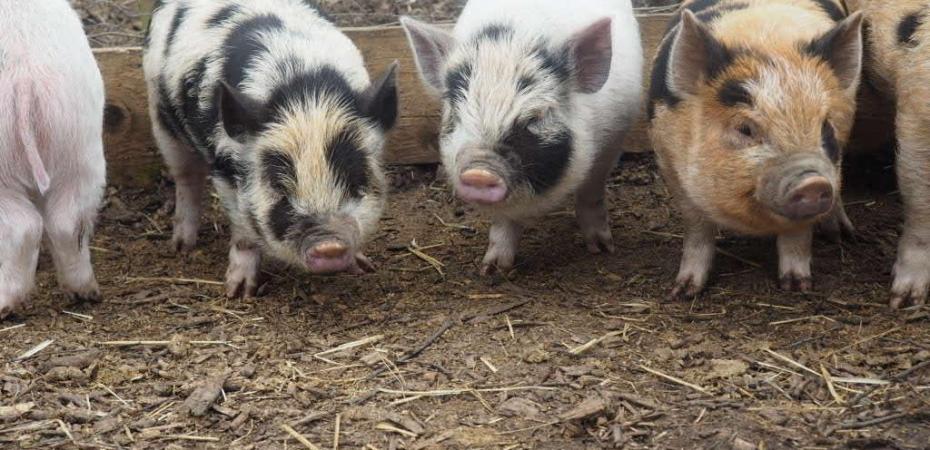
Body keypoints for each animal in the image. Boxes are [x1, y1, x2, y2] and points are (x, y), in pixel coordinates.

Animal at [0, 0, 107, 318]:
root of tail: (24, 76)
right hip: (79, 142)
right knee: (68, 221)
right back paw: (85, 293)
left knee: (22, 226)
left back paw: (4, 306)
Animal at [143, 0, 398, 297]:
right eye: (279, 188)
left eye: (357, 182)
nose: (329, 247)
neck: (306, 93)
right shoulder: (225, 169)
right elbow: (244, 232)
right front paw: (239, 292)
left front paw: (363, 267)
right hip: (160, 116)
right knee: (186, 178)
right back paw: (182, 246)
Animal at [400, 0, 643, 274]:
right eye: (456, 112)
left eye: (536, 117)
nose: (479, 173)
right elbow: (503, 220)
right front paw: (492, 269)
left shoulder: (611, 143)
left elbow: (591, 193)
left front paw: (602, 250)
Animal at [648, 0, 864, 299]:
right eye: (745, 129)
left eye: (826, 126)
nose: (813, 182)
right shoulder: (670, 167)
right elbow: (697, 231)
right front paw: (683, 292)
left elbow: (797, 235)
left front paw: (797, 286)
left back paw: (842, 235)